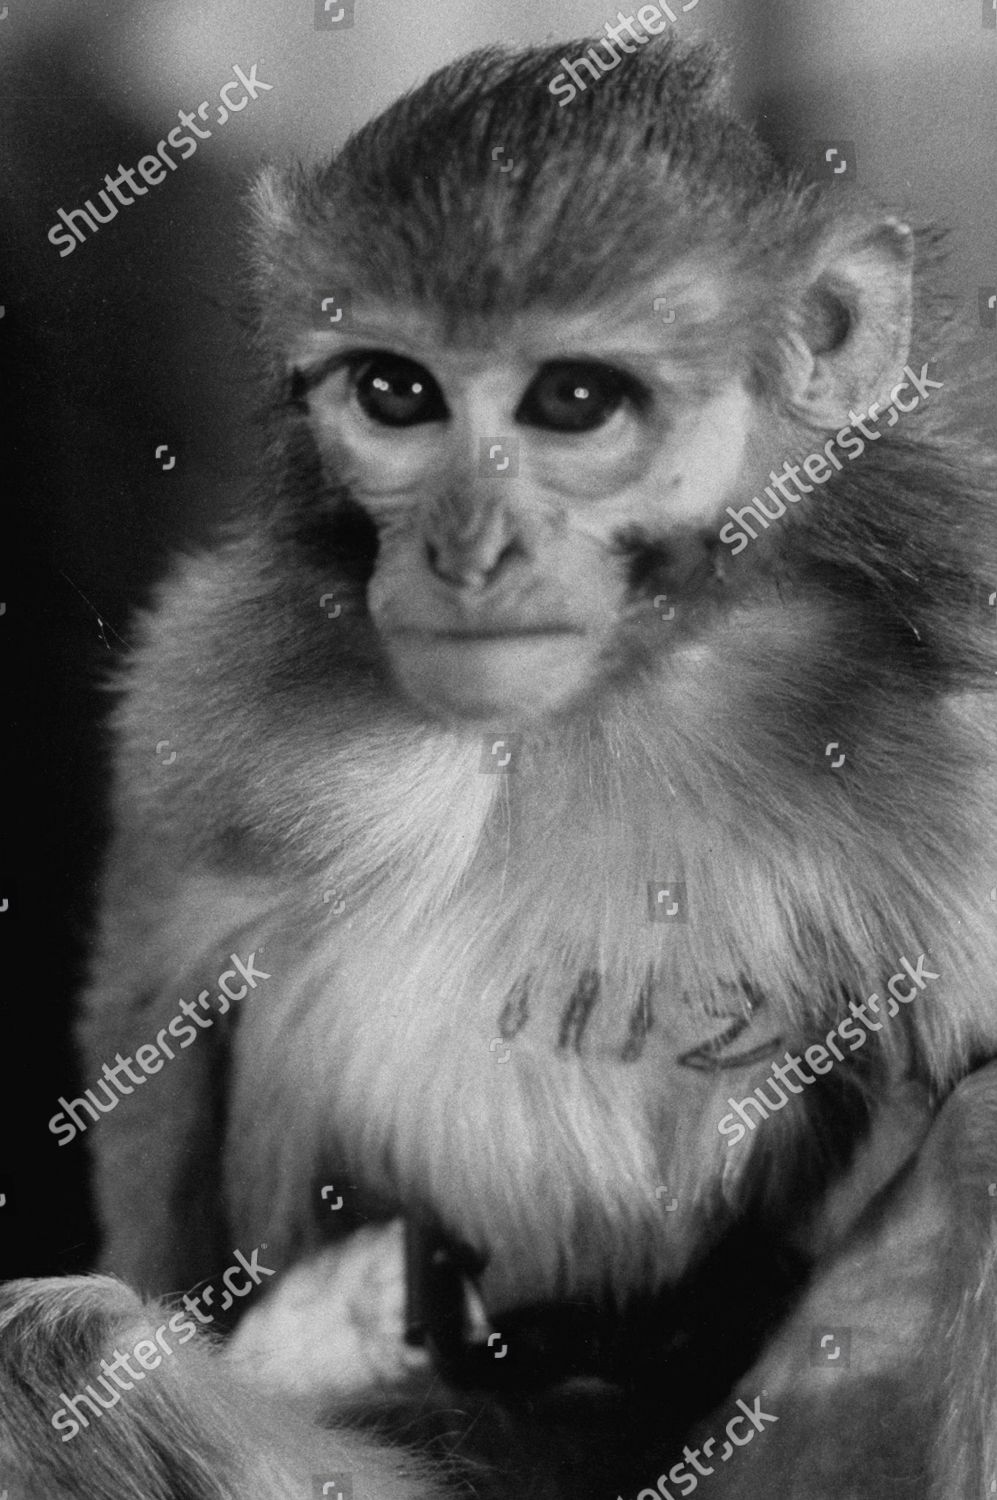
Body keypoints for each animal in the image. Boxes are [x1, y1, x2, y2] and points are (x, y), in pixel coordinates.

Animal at [3, 31, 997, 1500]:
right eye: (395, 391)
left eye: (572, 399)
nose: (463, 556)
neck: (619, 684)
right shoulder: (222, 679)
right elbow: (161, 977)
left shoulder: (966, 706)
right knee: (59, 1357)